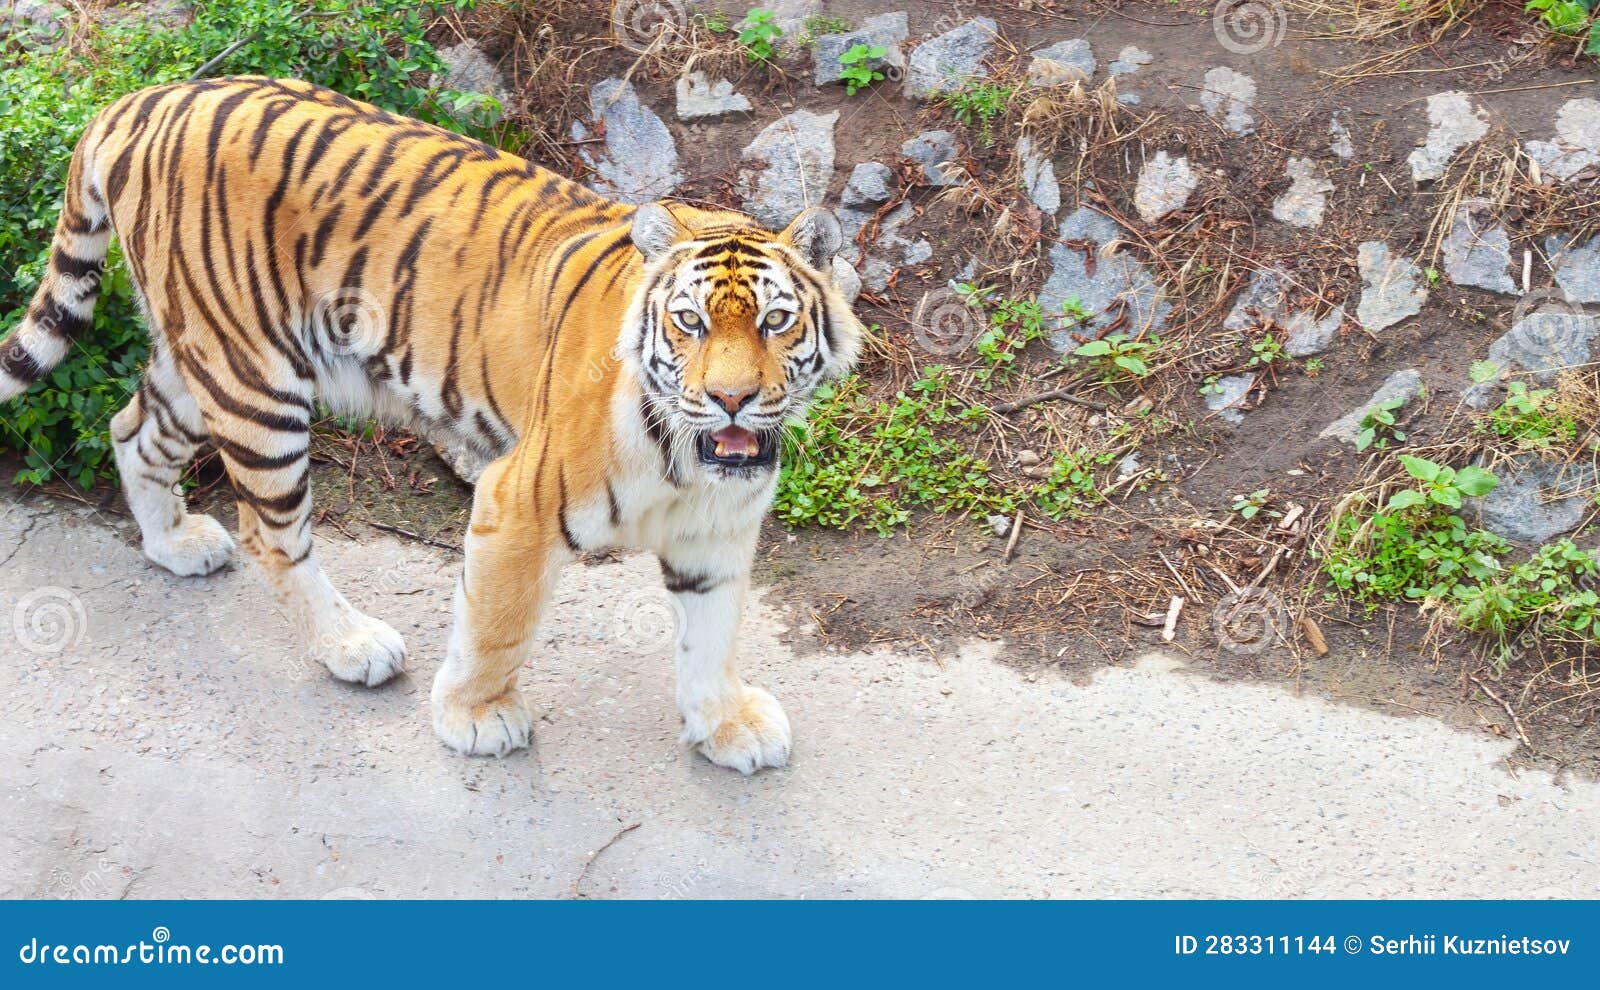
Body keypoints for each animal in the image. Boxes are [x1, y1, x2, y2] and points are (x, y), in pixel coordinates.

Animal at [0, 77, 864, 774]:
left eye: (776, 321)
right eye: (688, 322)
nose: (731, 400)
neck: (690, 460)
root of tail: (146, 98)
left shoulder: (717, 532)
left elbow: (712, 636)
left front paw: (725, 725)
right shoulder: (519, 502)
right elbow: (497, 623)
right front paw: (477, 718)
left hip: (197, 359)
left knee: (129, 429)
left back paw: (173, 543)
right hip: (254, 382)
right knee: (272, 535)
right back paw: (352, 646)